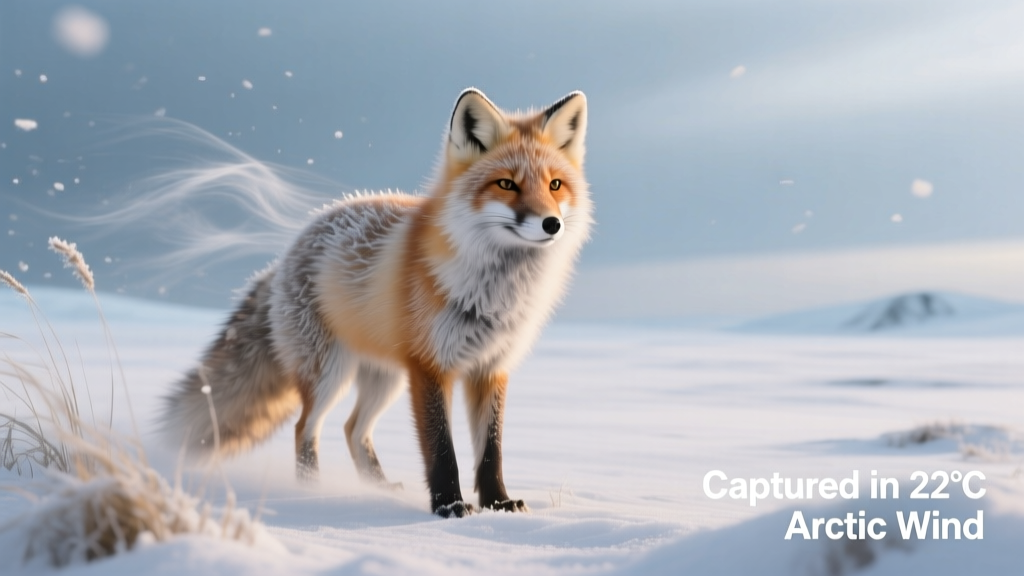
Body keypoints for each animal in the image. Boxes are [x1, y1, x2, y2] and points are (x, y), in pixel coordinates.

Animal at [161, 88, 593, 517]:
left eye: (555, 185)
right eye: (506, 184)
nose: (552, 223)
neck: (493, 294)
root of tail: (289, 250)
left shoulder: (491, 368)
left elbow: (492, 451)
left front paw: (498, 503)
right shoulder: (430, 366)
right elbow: (442, 449)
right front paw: (449, 506)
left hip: (384, 379)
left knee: (353, 429)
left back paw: (378, 487)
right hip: (330, 373)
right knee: (306, 427)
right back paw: (310, 492)